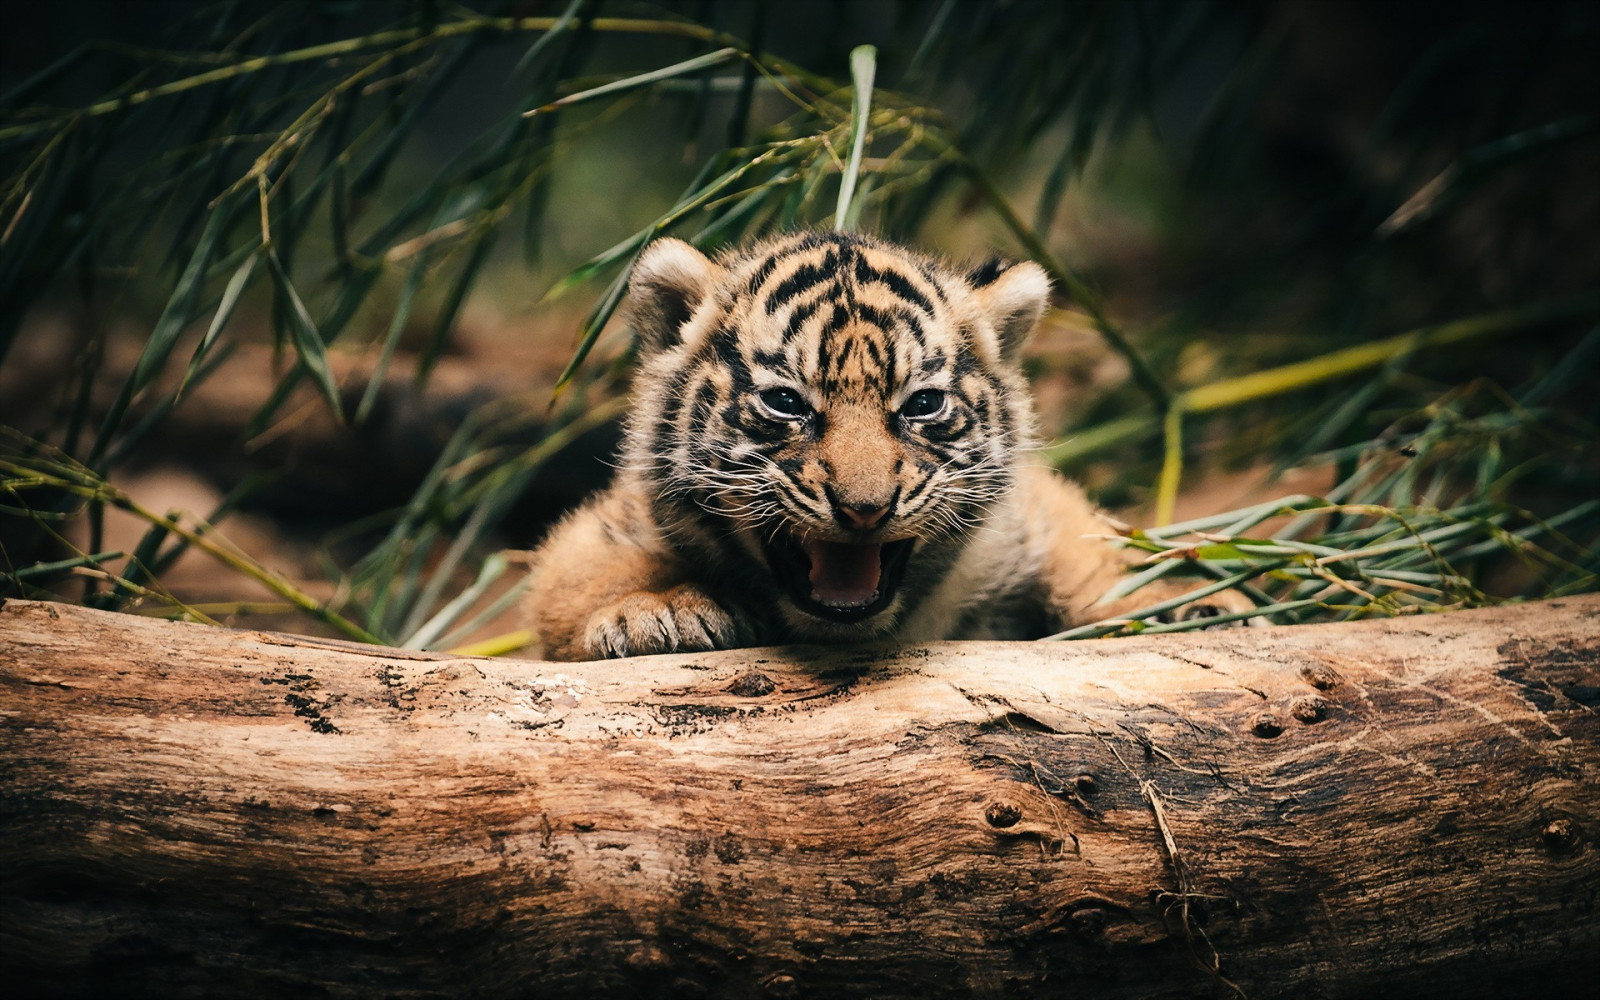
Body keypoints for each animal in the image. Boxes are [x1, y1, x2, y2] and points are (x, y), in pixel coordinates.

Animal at [525, 230, 1242, 661]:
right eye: (786, 402)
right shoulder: (603, 526)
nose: (865, 510)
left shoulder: (1030, 513)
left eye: (922, 405)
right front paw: (661, 612)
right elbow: (579, 573)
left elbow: (1090, 545)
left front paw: (1188, 602)